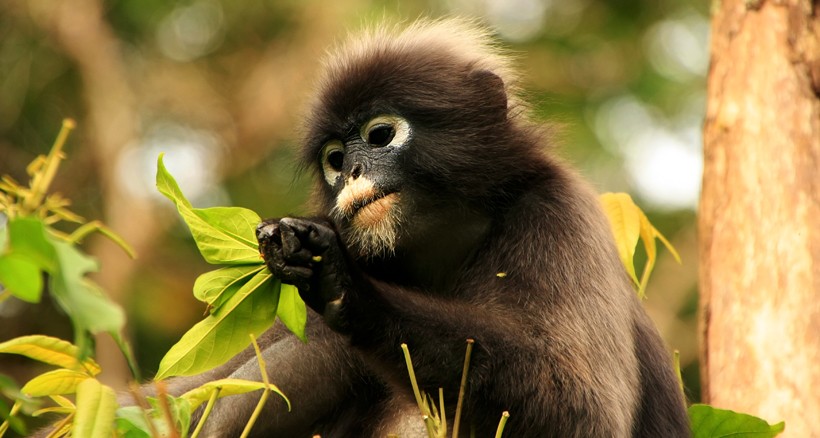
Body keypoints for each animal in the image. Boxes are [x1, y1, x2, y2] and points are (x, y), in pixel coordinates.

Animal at [142, 18, 690, 437]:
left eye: (380, 135)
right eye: (334, 160)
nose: (352, 172)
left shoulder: (559, 216)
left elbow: (584, 410)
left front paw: (344, 282)